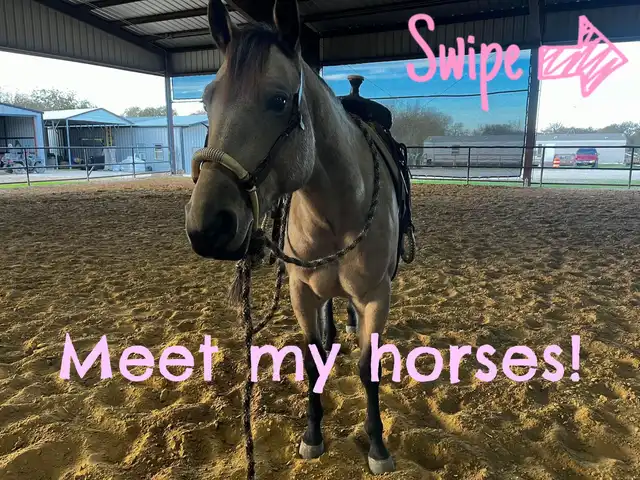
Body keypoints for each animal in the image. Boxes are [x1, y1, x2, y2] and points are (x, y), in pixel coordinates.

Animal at [185, 0, 414, 474]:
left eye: (278, 100)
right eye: (206, 99)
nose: (207, 227)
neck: (336, 212)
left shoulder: (375, 298)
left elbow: (369, 370)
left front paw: (378, 446)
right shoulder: (302, 294)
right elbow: (311, 363)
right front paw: (312, 436)